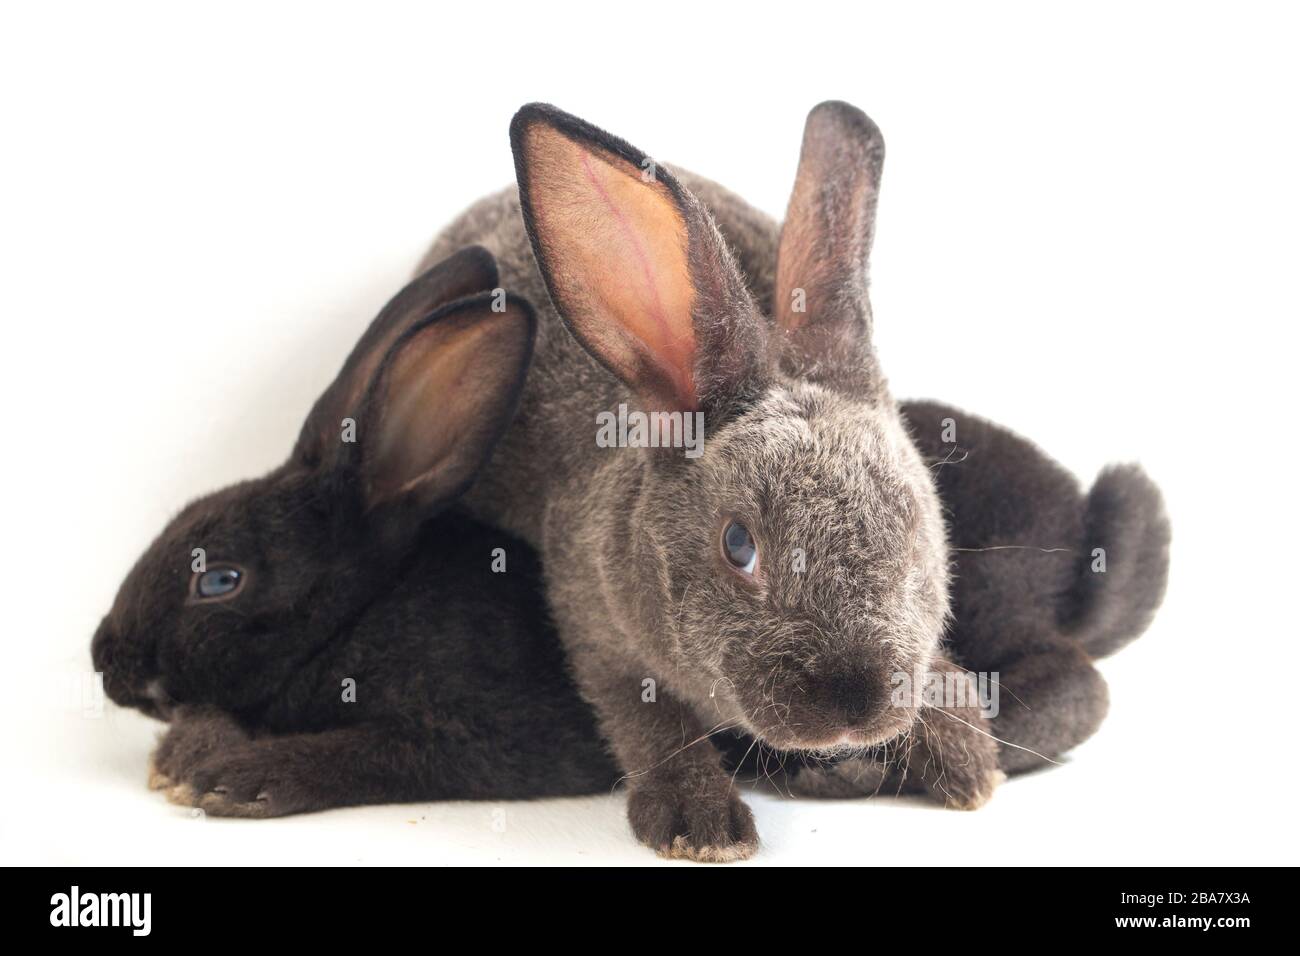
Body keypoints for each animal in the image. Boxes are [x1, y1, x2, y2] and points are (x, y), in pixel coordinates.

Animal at [90, 245, 622, 817]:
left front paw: (232, 780)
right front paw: (180, 761)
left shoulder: (477, 730)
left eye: (218, 581)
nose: (102, 658)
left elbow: (368, 753)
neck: (356, 614)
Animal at [421, 102, 1169, 861]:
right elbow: (646, 722)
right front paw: (702, 826)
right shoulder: (593, 621)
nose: (853, 706)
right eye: (738, 546)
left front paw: (965, 762)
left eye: (914, 533)